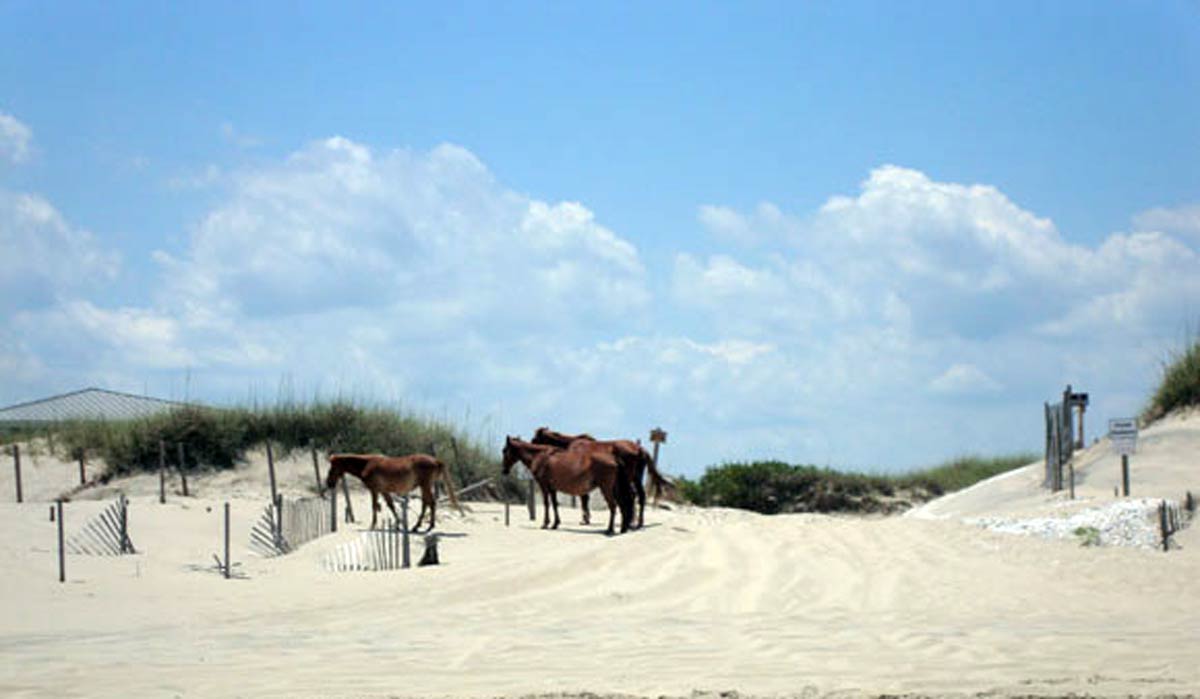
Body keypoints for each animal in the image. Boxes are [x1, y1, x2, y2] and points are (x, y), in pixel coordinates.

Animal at [324, 453, 462, 532]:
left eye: (332, 468)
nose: (329, 483)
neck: (366, 464)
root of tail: (436, 461)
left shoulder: (374, 490)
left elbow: (374, 507)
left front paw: (373, 526)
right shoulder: (384, 491)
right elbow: (391, 505)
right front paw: (398, 523)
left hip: (425, 486)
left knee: (430, 503)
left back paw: (426, 526)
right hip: (425, 487)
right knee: (427, 504)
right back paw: (418, 526)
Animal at [501, 436, 634, 535]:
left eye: (504, 450)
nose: (504, 471)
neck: (540, 456)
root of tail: (614, 457)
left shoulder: (544, 485)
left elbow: (546, 504)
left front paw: (545, 523)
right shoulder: (552, 488)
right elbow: (555, 504)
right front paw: (555, 524)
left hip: (606, 488)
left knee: (613, 506)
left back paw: (610, 529)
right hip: (615, 488)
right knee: (622, 505)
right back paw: (623, 528)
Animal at [532, 426, 671, 529]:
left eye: (536, 437)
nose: (532, 443)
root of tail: (640, 448)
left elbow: (584, 499)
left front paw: (585, 519)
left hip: (628, 479)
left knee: (632, 495)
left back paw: (631, 521)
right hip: (636, 478)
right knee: (640, 496)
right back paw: (638, 522)